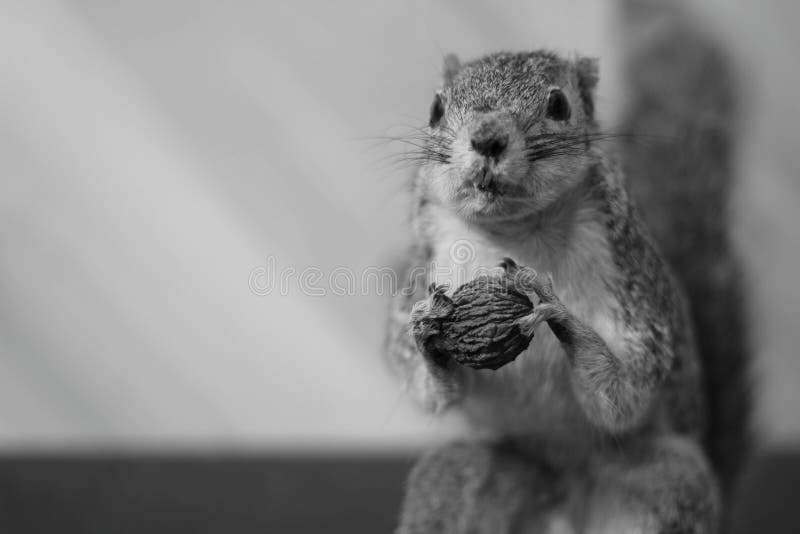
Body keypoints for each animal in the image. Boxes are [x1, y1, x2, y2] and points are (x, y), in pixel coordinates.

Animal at [383, 1, 750, 533]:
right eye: (435, 107)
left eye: (559, 105)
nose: (487, 137)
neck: (516, 232)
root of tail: (563, 498)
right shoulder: (420, 276)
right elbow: (430, 390)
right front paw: (427, 340)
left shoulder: (633, 288)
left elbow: (624, 395)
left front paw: (564, 318)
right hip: (464, 478)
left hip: (664, 484)